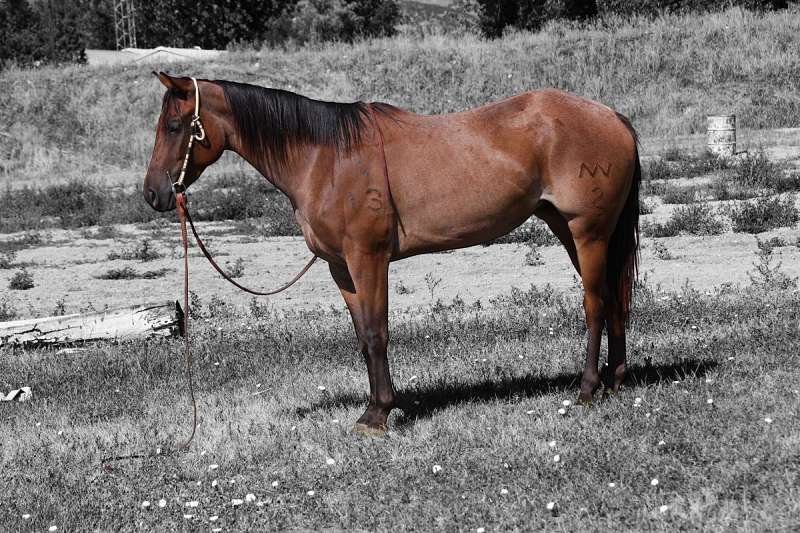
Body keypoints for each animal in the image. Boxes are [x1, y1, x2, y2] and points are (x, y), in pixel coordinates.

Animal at [144, 72, 640, 437]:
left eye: (174, 127)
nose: (152, 194)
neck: (326, 158)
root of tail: (612, 117)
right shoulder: (341, 269)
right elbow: (364, 337)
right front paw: (372, 411)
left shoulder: (369, 259)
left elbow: (378, 333)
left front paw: (381, 414)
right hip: (572, 229)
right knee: (615, 301)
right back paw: (616, 381)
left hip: (588, 232)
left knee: (596, 305)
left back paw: (588, 388)